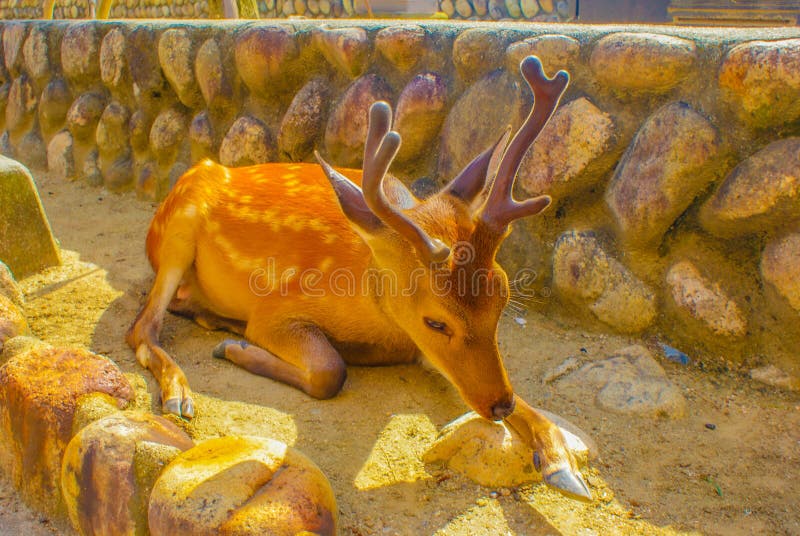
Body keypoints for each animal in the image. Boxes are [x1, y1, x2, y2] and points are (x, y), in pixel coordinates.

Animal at [127, 55, 592, 500]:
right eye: (436, 320)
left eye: (503, 299)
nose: (498, 406)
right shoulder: (276, 309)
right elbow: (330, 371)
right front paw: (237, 350)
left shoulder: (419, 346)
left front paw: (561, 463)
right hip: (177, 231)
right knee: (142, 326)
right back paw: (182, 392)